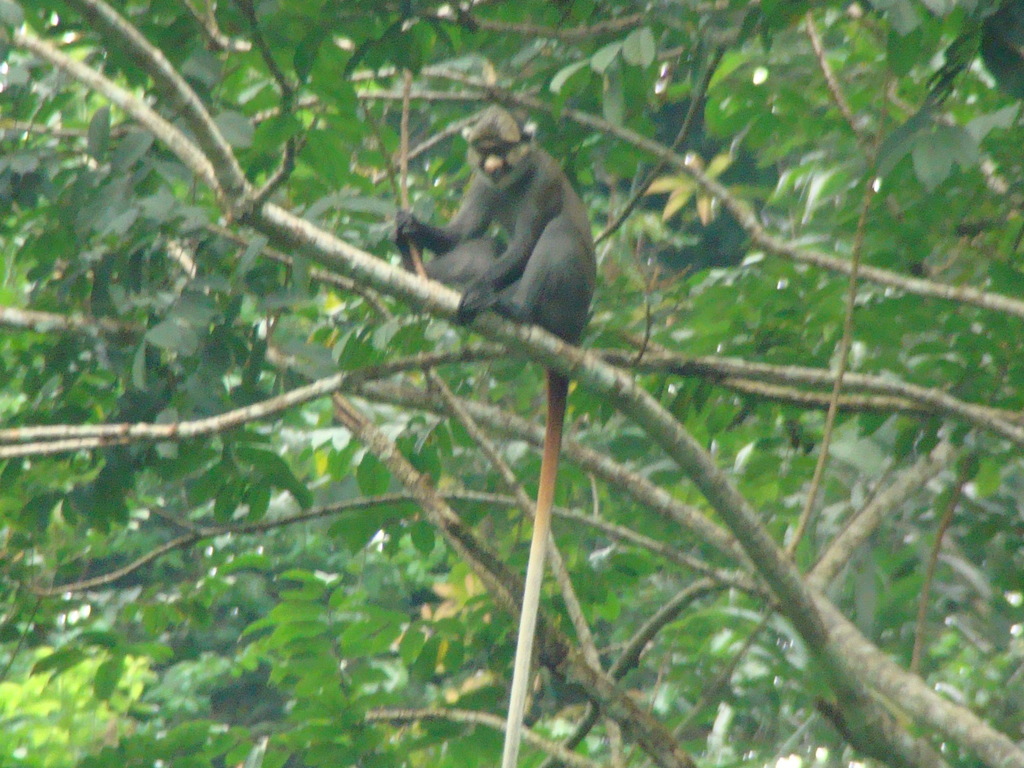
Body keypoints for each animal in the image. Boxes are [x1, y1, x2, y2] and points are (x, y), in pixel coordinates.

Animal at [395, 105, 595, 768]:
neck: (509, 179)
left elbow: (530, 240)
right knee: (482, 245)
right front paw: (410, 229)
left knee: (554, 240)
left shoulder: (540, 181)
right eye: (481, 148)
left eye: (504, 148)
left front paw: (486, 291)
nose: (490, 162)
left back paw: (513, 309)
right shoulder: (483, 187)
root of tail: (572, 344)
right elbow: (465, 232)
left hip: (569, 305)